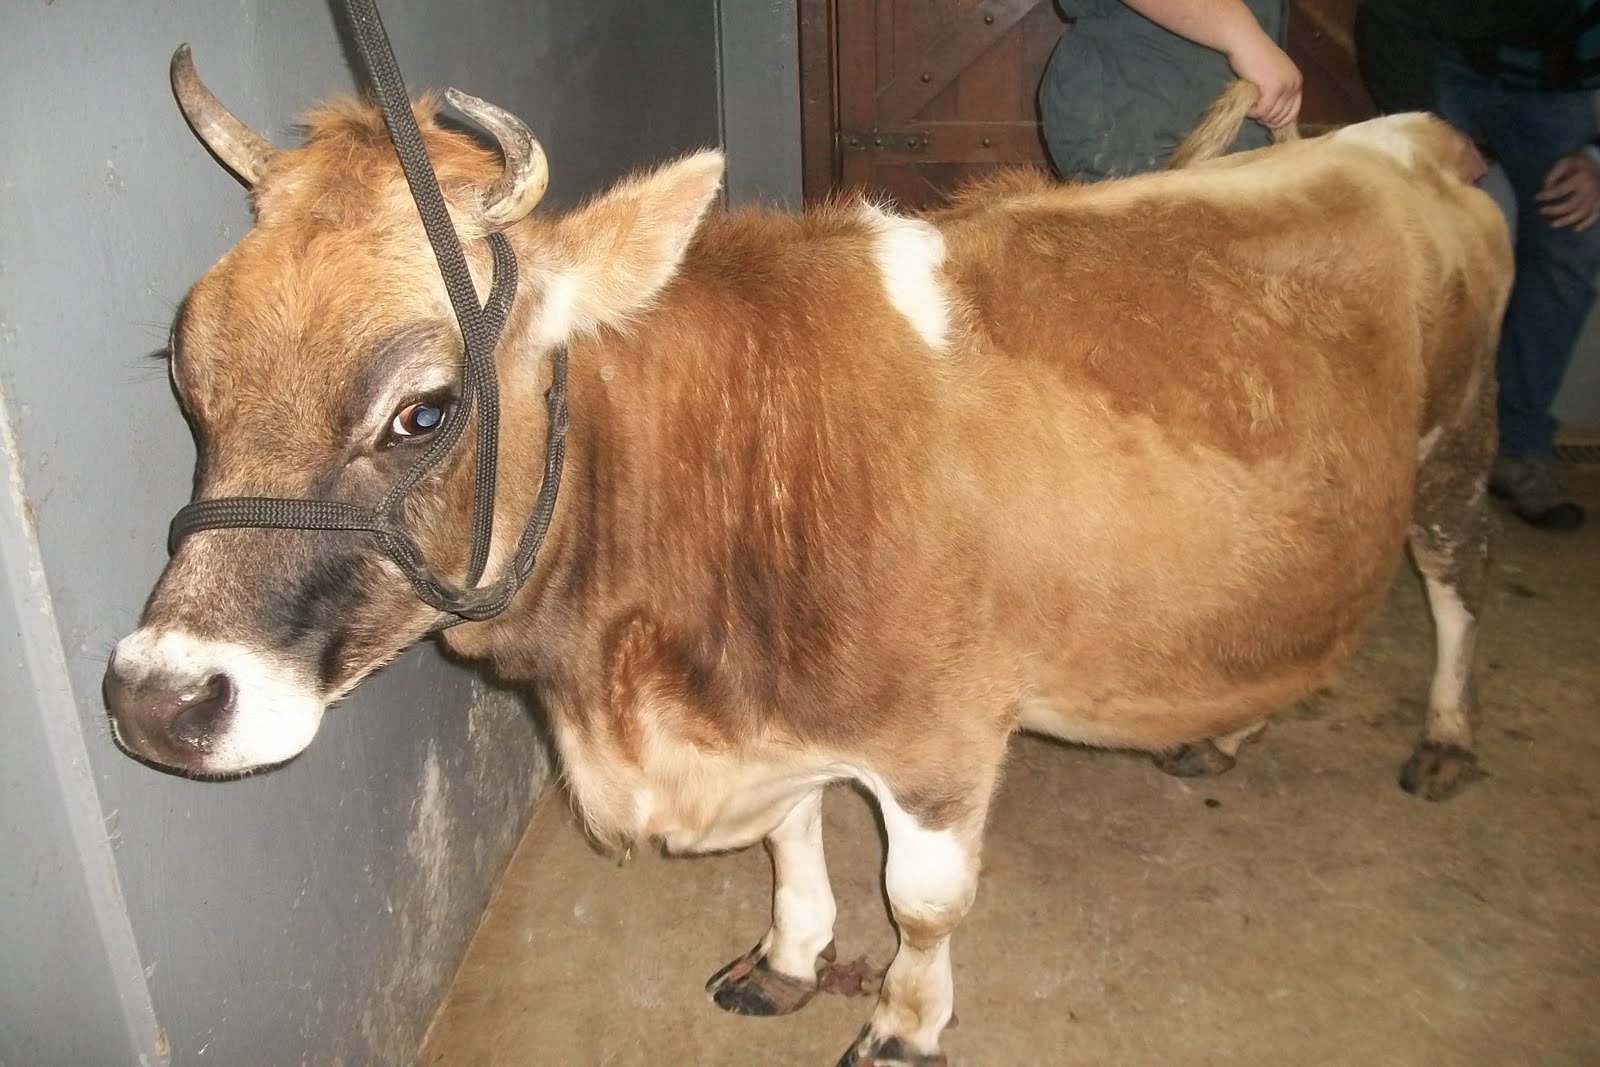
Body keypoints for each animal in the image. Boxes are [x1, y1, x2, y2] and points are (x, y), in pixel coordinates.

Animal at [104, 47, 1511, 1067]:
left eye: (424, 412)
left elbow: (924, 899)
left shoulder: (942, 738)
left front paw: (903, 1023)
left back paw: (1445, 733)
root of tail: (1396, 133)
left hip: (1456, 441)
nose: (157, 698)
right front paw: (789, 957)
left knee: (1452, 583)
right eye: (186, 375)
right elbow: (791, 841)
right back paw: (1224, 733)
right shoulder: (772, 721)